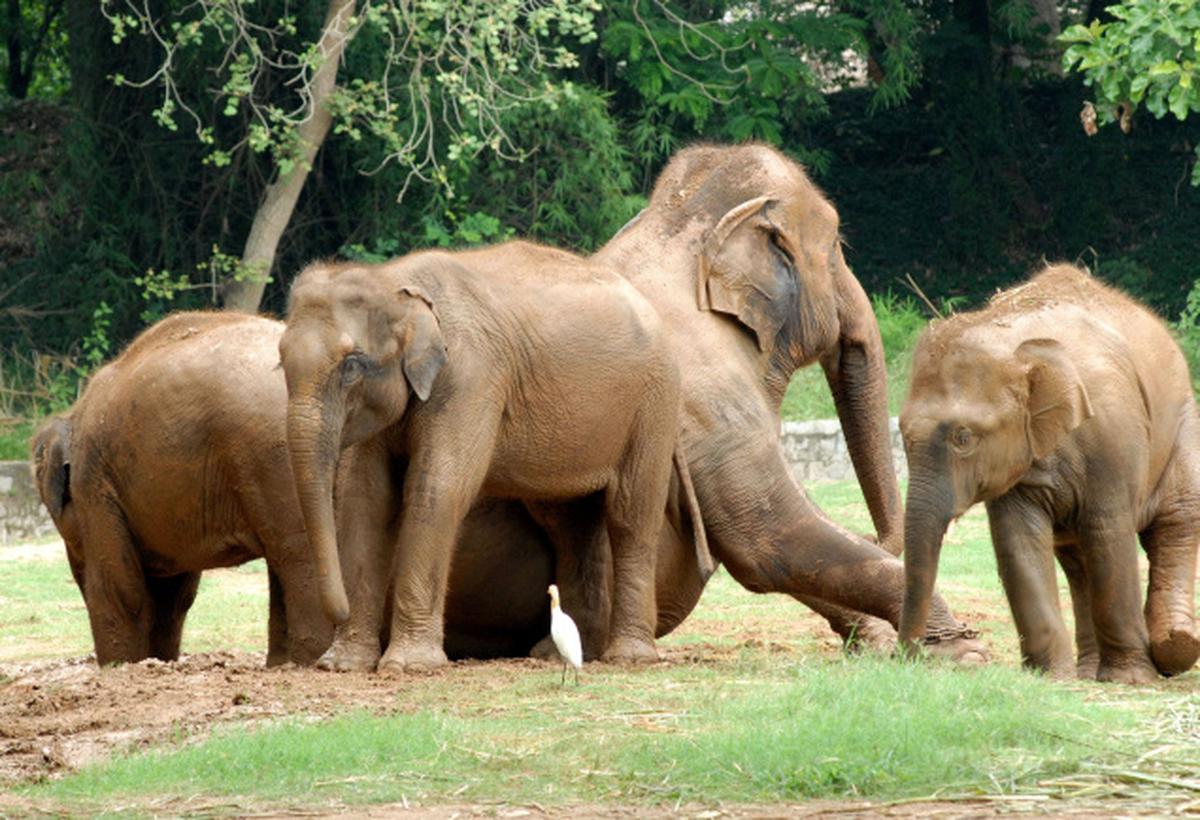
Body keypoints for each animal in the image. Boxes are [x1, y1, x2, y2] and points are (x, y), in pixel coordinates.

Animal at [30, 312, 334, 666]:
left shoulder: (94, 483)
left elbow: (119, 587)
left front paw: (121, 668)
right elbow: (170, 595)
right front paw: (155, 664)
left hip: (272, 454)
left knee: (297, 552)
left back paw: (310, 662)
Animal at [279, 241, 710, 673]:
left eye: (351, 366)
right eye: (281, 363)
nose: (337, 612)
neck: (392, 279)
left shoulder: (472, 377)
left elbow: (439, 488)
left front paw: (410, 666)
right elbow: (366, 498)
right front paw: (341, 665)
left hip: (654, 404)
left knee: (630, 514)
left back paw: (629, 657)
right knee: (570, 524)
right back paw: (556, 654)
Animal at [897, 263, 1200, 684]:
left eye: (963, 438)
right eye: (901, 432)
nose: (907, 657)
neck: (1014, 337)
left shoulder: (1113, 433)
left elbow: (1109, 534)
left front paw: (1129, 679)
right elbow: (1018, 542)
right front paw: (1050, 677)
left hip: (1181, 426)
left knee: (1175, 522)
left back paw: (1175, 647)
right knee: (1077, 560)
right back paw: (1089, 672)